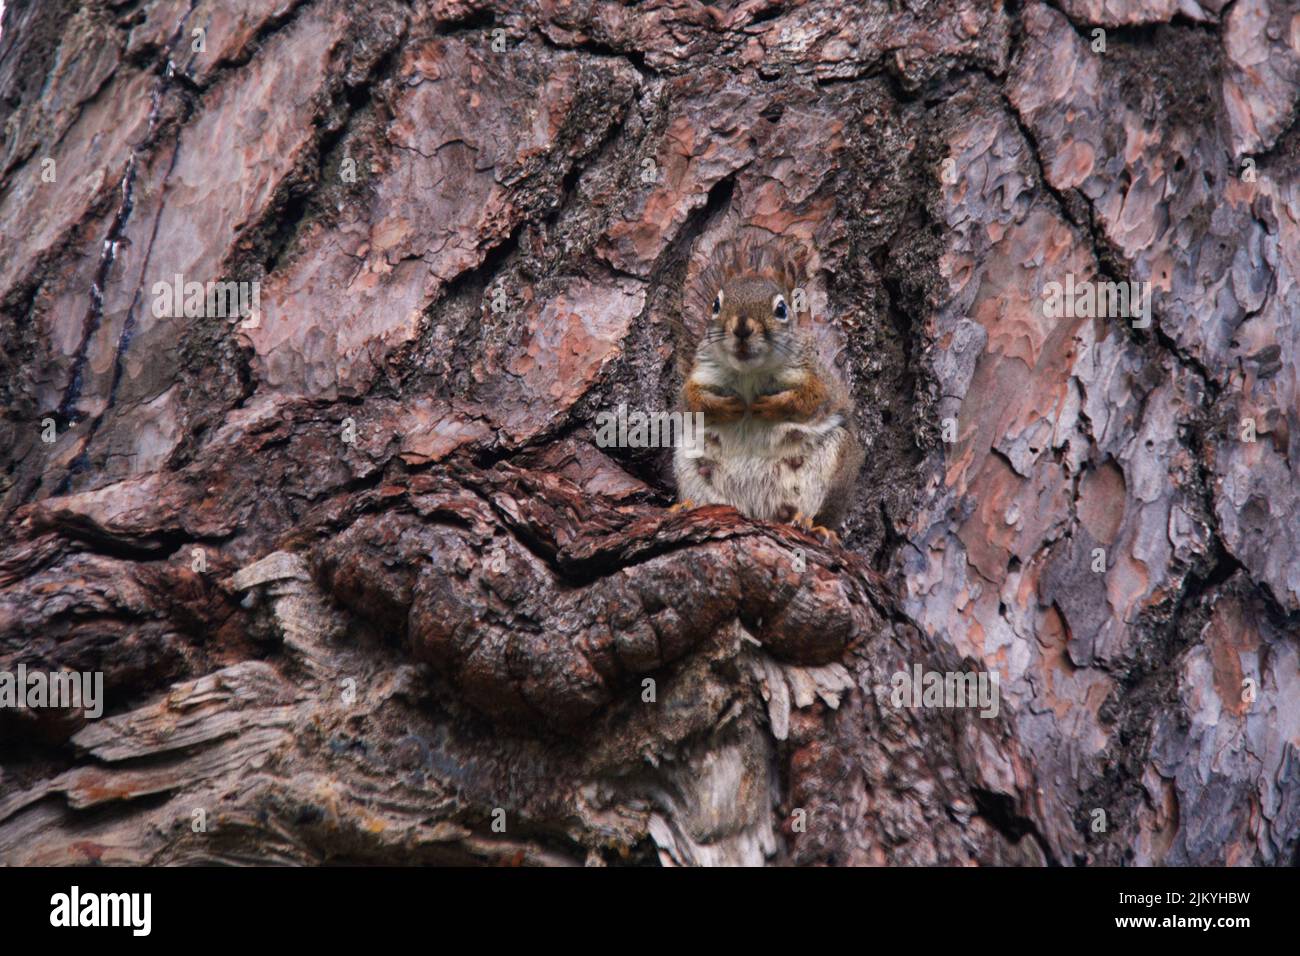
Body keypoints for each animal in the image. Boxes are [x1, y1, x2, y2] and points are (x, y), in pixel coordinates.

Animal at [671, 241, 864, 539]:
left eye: (782, 309)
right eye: (716, 305)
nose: (742, 326)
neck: (749, 373)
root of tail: (756, 509)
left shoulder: (818, 378)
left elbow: (812, 399)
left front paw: (771, 406)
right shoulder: (702, 372)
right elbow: (691, 401)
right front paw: (727, 407)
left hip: (836, 459)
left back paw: (813, 525)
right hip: (690, 463)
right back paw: (688, 506)